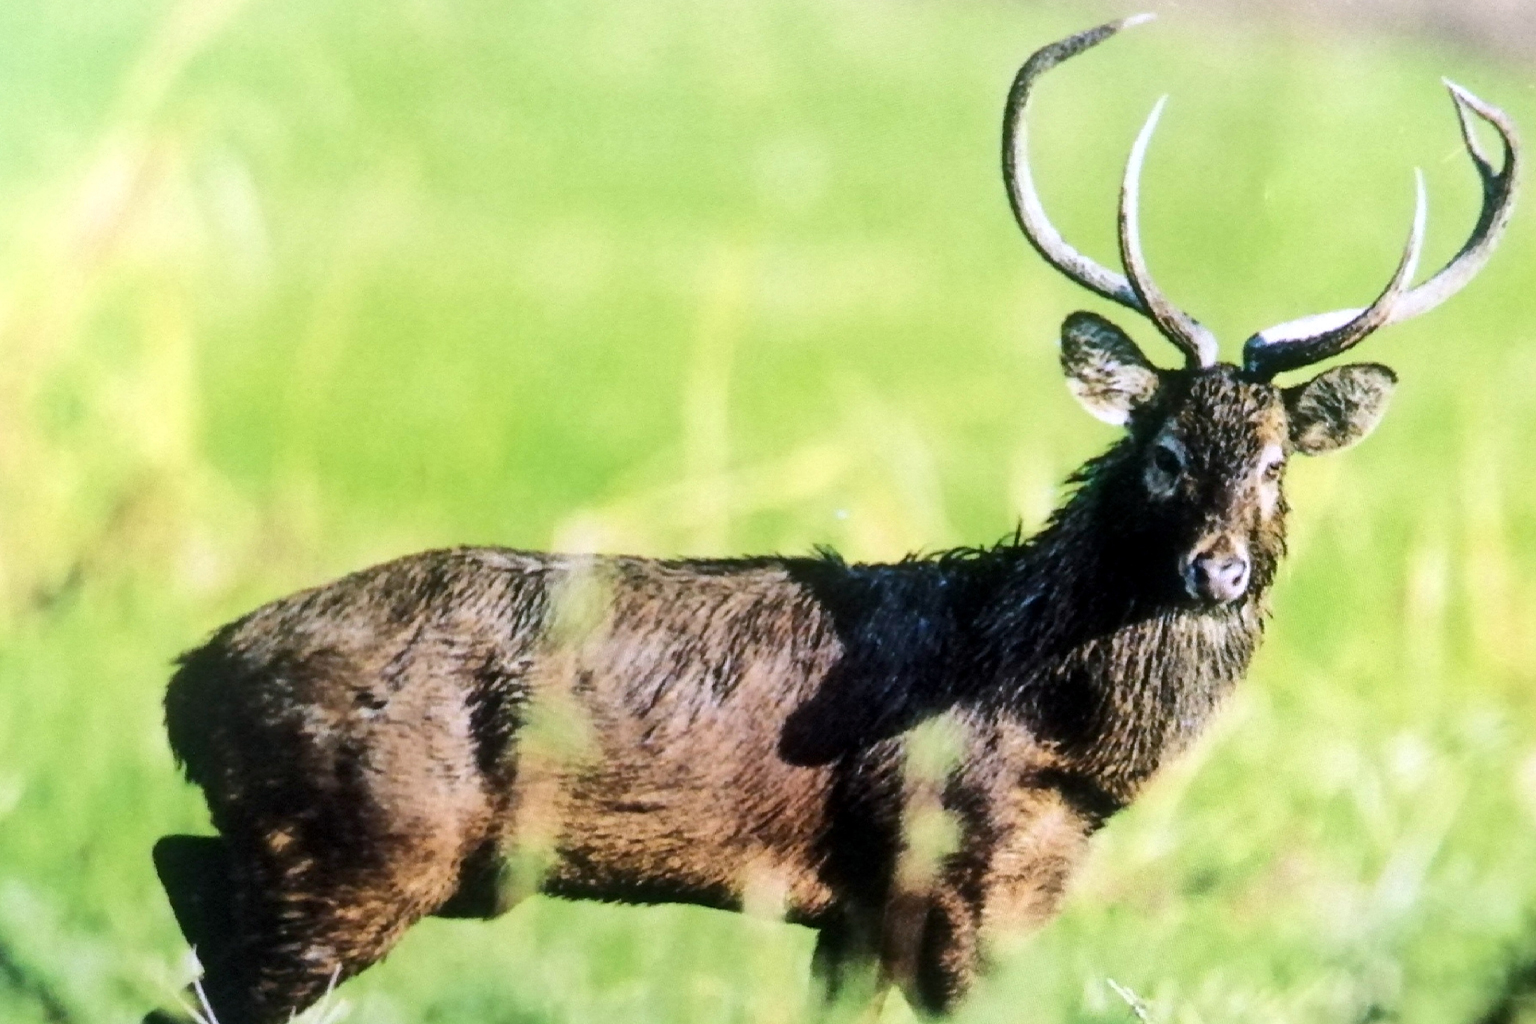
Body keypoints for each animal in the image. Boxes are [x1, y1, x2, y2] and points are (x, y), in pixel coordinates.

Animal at [144, 15, 1519, 1024]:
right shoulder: (954, 882)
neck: (1059, 732)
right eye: (1168, 452)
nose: (1219, 571)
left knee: (175, 879)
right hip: (369, 844)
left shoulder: (856, 915)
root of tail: (185, 680)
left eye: (1278, 465)